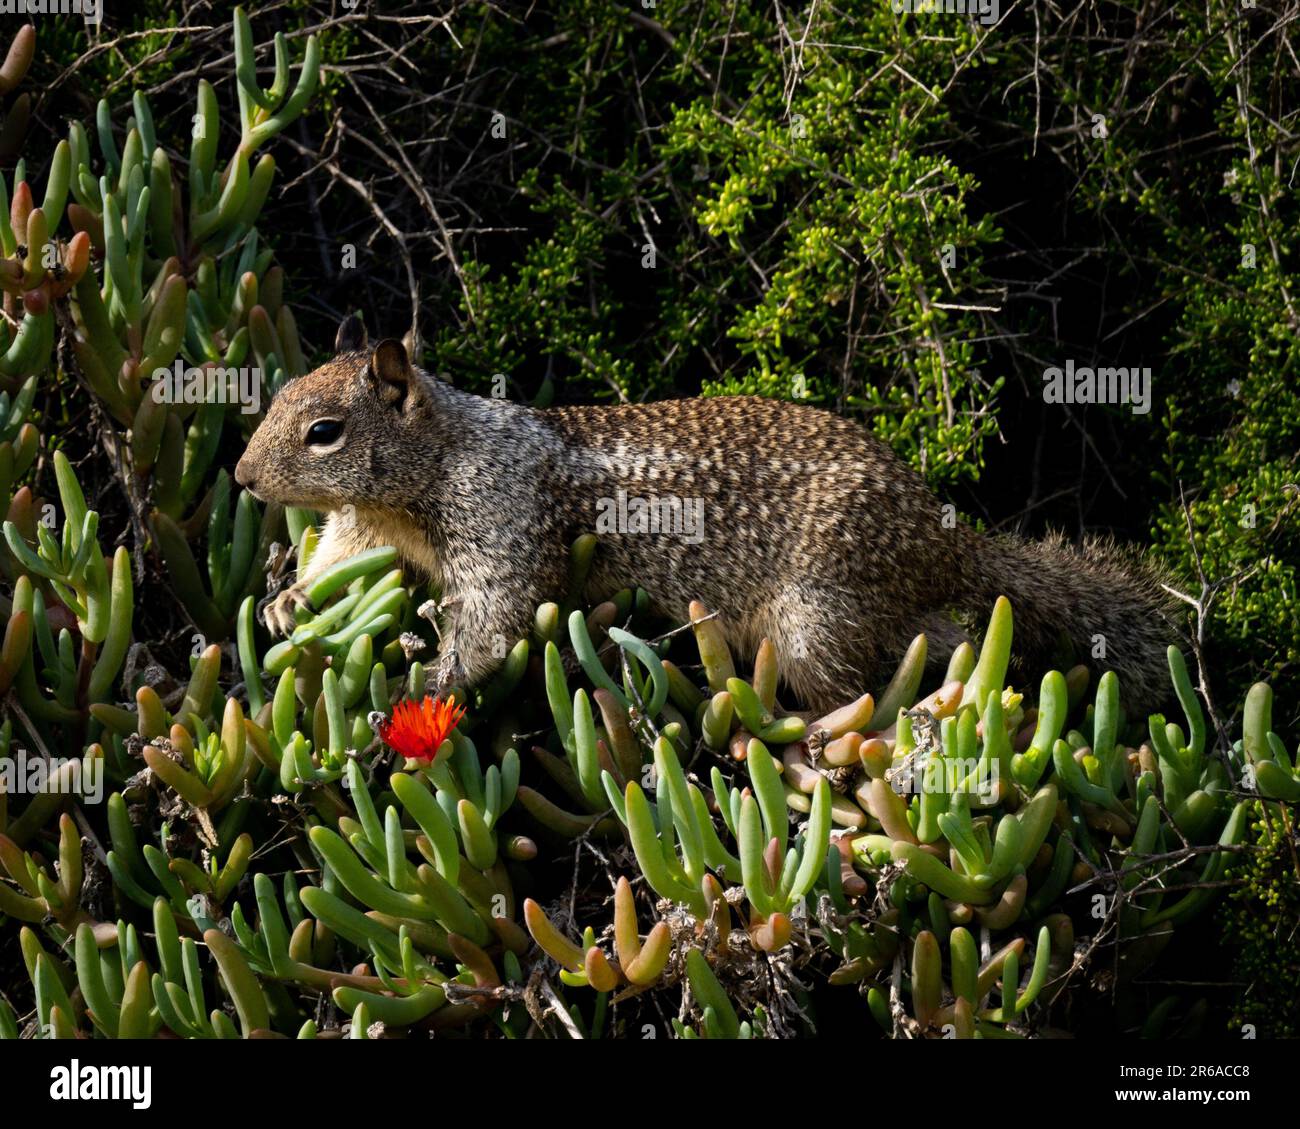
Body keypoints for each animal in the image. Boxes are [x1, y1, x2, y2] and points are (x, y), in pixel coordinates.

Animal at [234, 316, 1179, 713]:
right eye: (277, 397)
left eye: (323, 431)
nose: (242, 477)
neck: (440, 455)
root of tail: (943, 538)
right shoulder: (363, 525)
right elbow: (334, 558)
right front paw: (288, 601)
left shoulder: (499, 516)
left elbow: (496, 615)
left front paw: (427, 681)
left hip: (816, 614)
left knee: (863, 679)